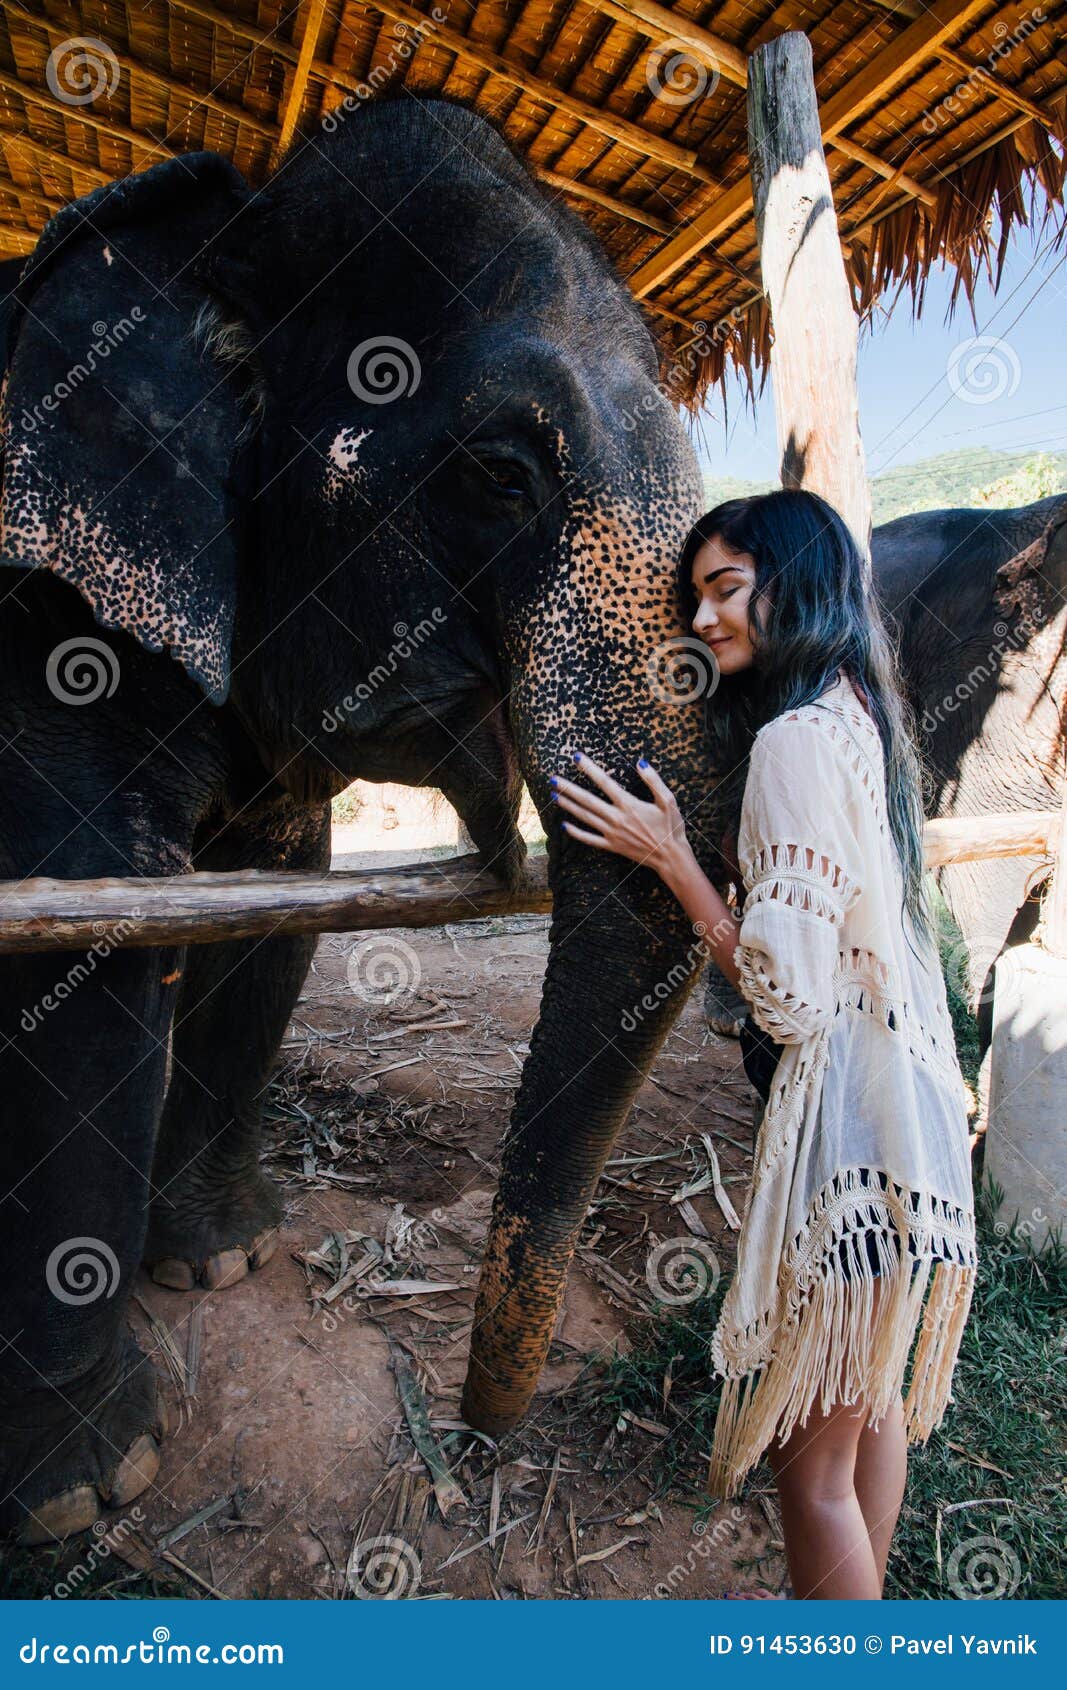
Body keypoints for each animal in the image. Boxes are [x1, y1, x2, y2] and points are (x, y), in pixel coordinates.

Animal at [0, 95, 728, 1541]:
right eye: (498, 473)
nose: (476, 1440)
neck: (235, 228)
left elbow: (276, 893)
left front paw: (219, 1263)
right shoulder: (48, 607)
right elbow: (84, 921)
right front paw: (85, 1491)